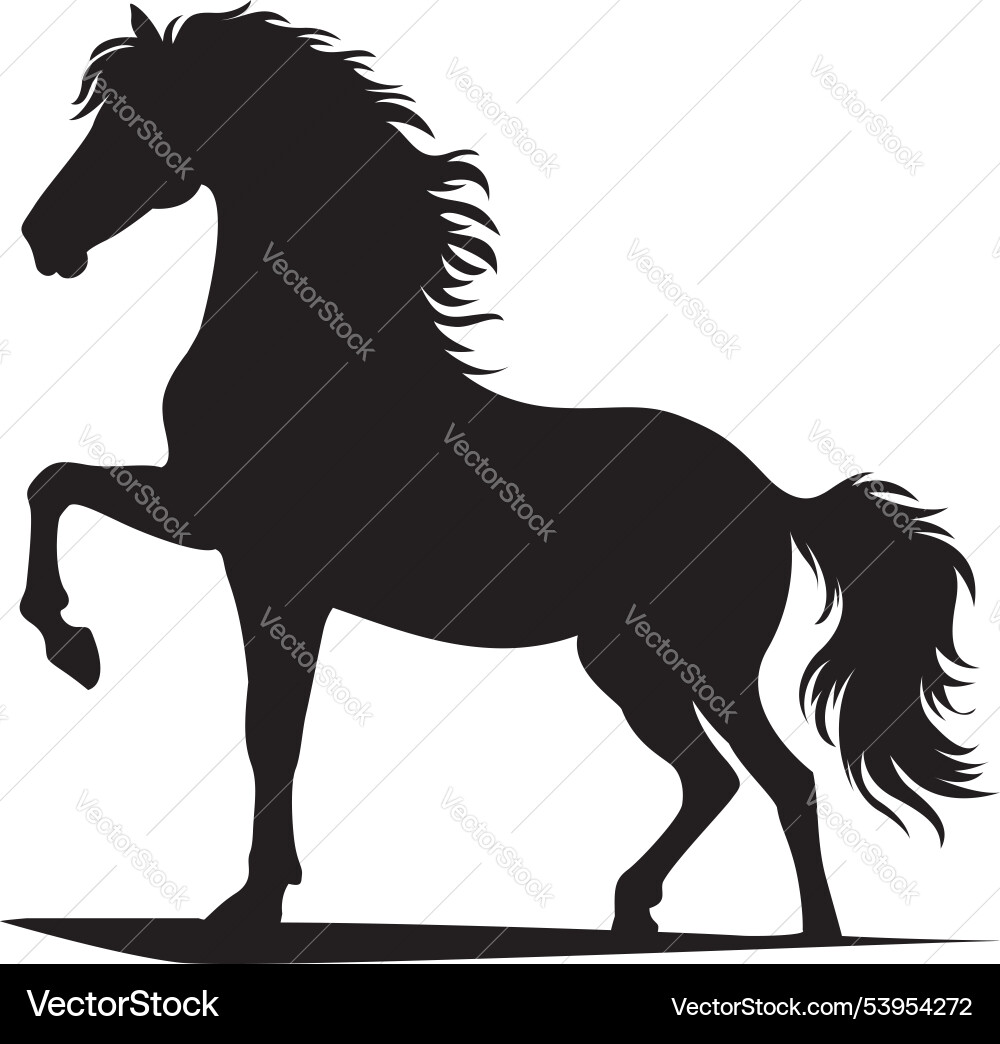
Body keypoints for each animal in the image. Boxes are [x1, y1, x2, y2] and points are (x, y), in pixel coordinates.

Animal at [19, 3, 986, 939]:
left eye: (133, 122)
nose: (39, 238)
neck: (322, 355)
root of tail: (775, 498)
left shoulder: (256, 561)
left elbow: (268, 733)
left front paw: (249, 895)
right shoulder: (210, 526)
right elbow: (56, 484)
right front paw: (76, 649)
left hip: (707, 663)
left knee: (786, 780)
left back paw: (812, 931)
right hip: (622, 658)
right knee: (713, 781)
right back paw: (634, 907)